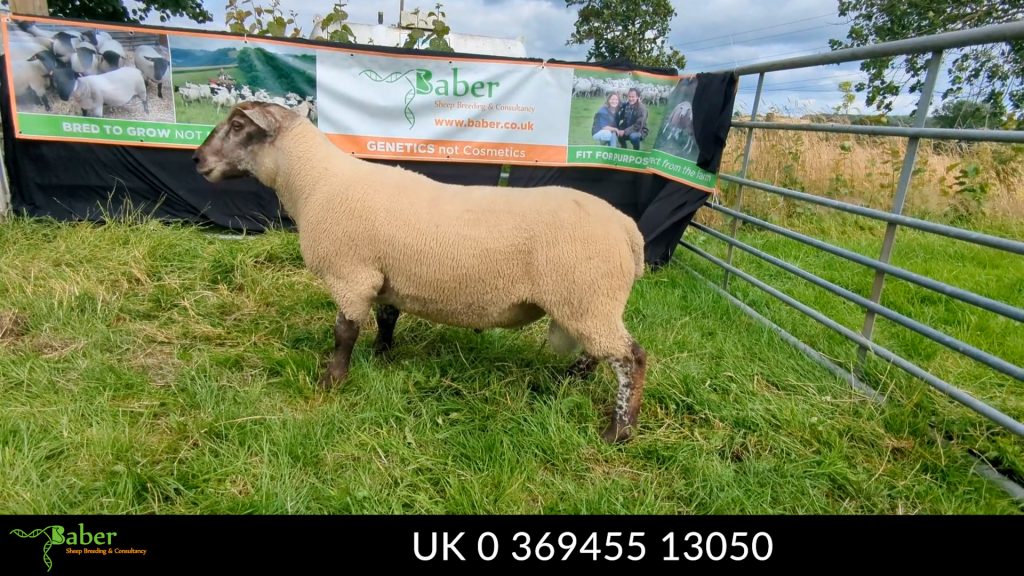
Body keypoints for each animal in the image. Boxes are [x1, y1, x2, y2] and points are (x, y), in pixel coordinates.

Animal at [193, 102, 649, 443]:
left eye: (238, 125)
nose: (196, 160)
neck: (314, 183)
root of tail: (628, 229)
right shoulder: (382, 277)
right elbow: (386, 317)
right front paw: (381, 355)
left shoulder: (350, 274)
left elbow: (344, 332)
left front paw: (332, 381)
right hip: (590, 301)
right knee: (599, 351)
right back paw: (572, 379)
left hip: (586, 295)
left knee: (631, 359)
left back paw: (618, 430)